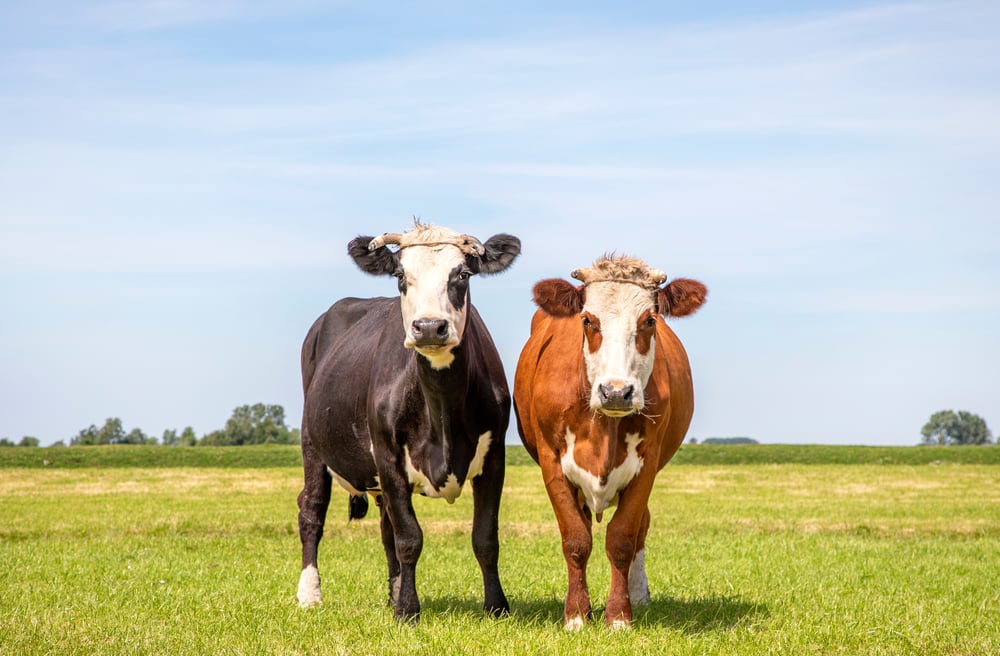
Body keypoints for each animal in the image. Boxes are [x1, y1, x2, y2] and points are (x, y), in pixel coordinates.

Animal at [296, 221, 520, 622]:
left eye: (462, 275)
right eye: (401, 275)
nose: (429, 327)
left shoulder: (494, 457)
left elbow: (485, 538)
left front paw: (496, 606)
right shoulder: (388, 456)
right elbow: (409, 538)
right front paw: (407, 610)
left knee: (385, 526)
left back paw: (393, 592)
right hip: (312, 442)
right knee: (312, 510)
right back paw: (310, 594)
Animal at [513, 254, 707, 630]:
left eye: (649, 321)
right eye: (588, 320)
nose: (616, 391)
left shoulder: (646, 465)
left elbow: (622, 539)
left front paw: (618, 616)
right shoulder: (552, 462)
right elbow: (576, 539)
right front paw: (576, 615)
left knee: (642, 526)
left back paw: (639, 594)